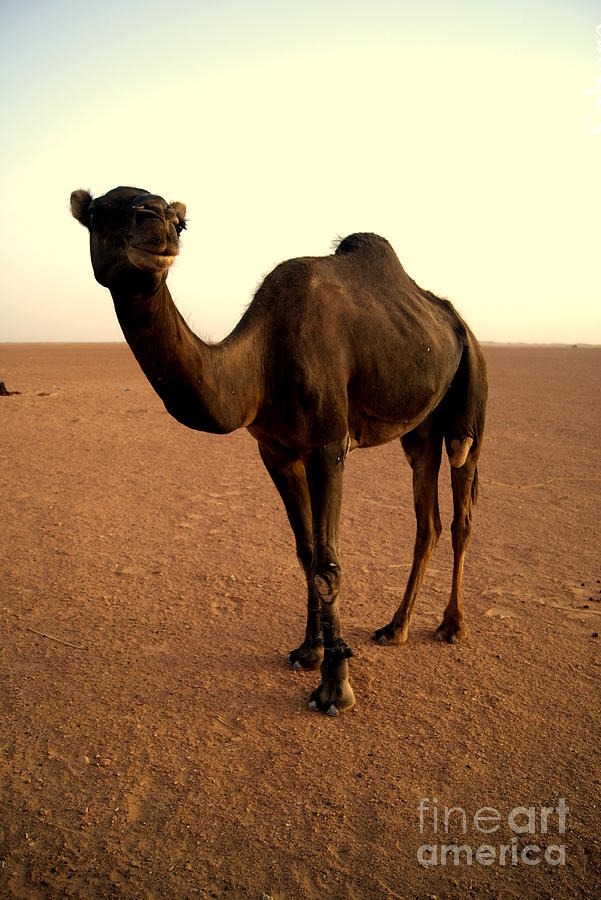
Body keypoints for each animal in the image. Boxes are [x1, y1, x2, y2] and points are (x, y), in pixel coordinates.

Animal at [71, 186, 487, 717]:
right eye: (98, 214)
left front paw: (335, 689)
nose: (156, 223)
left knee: (461, 504)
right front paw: (308, 651)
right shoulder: (276, 449)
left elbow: (328, 564)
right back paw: (395, 628)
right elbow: (305, 551)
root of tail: (457, 321)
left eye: (180, 223)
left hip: (471, 391)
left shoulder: (328, 444)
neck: (262, 360)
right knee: (427, 518)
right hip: (420, 431)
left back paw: (453, 626)